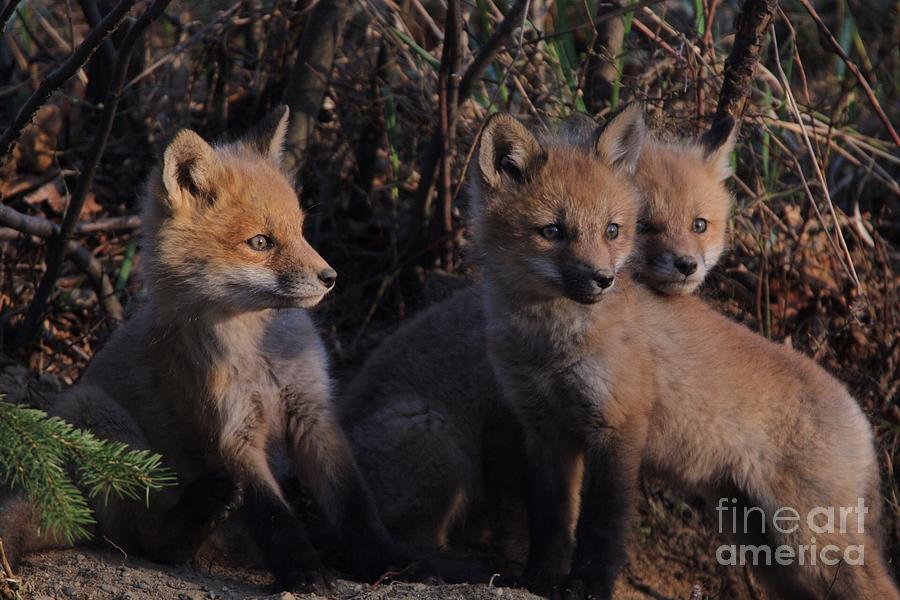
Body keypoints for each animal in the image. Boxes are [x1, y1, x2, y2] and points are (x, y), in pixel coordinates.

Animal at [0, 106, 420, 591]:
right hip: (94, 416)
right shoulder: (230, 432)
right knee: (153, 544)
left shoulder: (312, 413)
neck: (259, 355)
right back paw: (200, 509)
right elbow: (275, 517)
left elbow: (354, 504)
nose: (330, 277)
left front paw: (386, 562)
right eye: (261, 242)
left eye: (300, 230)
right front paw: (303, 571)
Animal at [342, 106, 899, 599]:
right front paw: (540, 580)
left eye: (612, 230)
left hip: (807, 540)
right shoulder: (543, 427)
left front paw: (587, 586)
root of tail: (859, 413)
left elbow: (601, 523)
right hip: (767, 545)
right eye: (553, 231)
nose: (602, 279)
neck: (549, 346)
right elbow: (552, 519)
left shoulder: (618, 423)